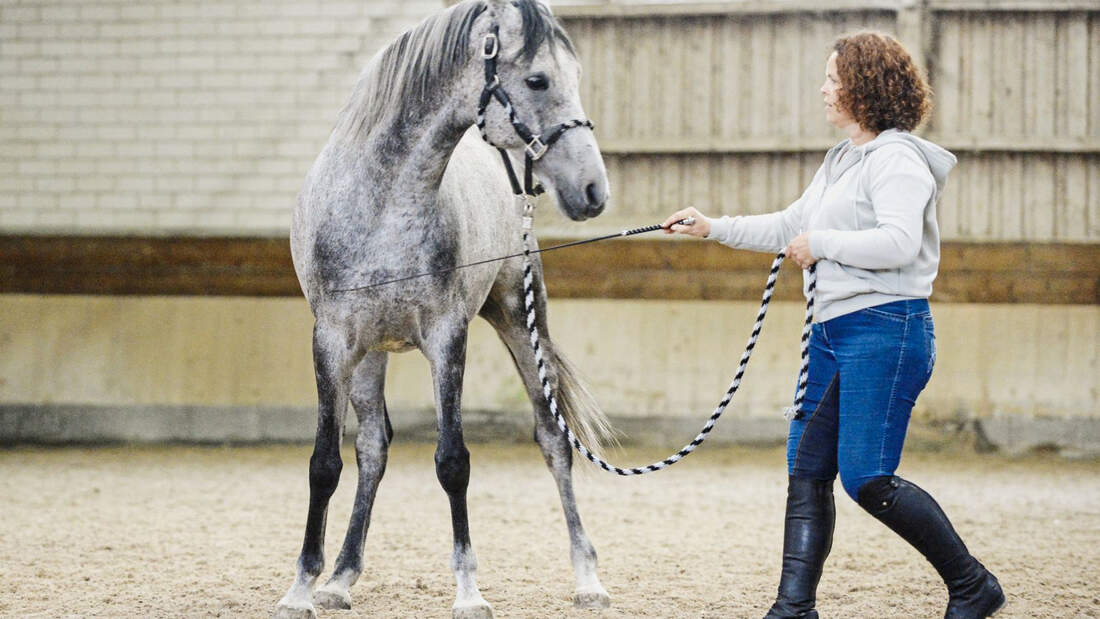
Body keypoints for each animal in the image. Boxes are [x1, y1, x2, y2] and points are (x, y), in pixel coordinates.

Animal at [275, 1, 614, 618]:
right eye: (538, 80)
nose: (594, 190)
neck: (382, 205)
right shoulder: (332, 340)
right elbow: (324, 464)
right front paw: (302, 587)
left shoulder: (446, 338)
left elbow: (453, 462)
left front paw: (469, 591)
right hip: (370, 354)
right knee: (373, 446)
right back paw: (340, 578)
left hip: (518, 318)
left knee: (554, 439)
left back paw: (587, 579)